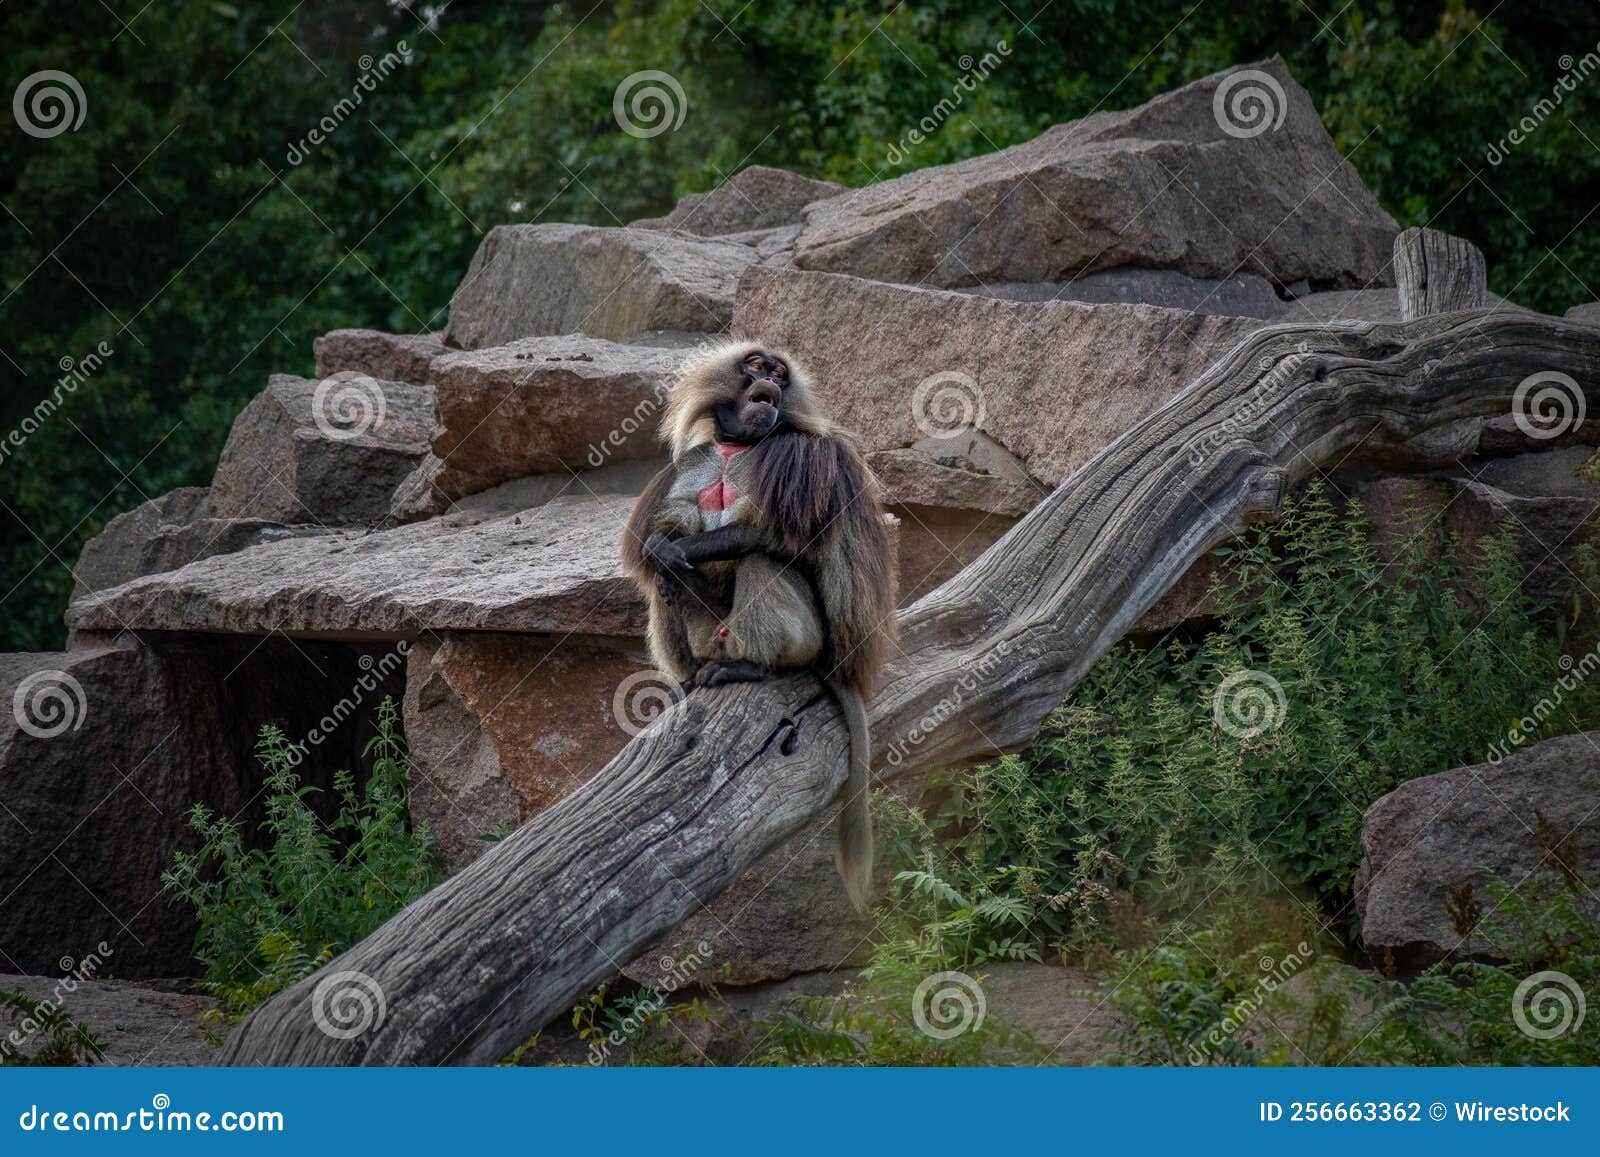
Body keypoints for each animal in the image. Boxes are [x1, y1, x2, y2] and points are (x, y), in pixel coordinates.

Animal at [621, 342, 898, 912]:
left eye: (779, 374)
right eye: (756, 367)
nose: (770, 379)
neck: (738, 447)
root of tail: (836, 664)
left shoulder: (800, 456)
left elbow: (775, 534)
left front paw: (677, 551)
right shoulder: (694, 463)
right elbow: (667, 526)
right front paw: (664, 547)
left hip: (809, 638)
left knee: (757, 561)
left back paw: (750, 666)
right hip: (707, 633)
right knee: (667, 592)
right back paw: (693, 678)